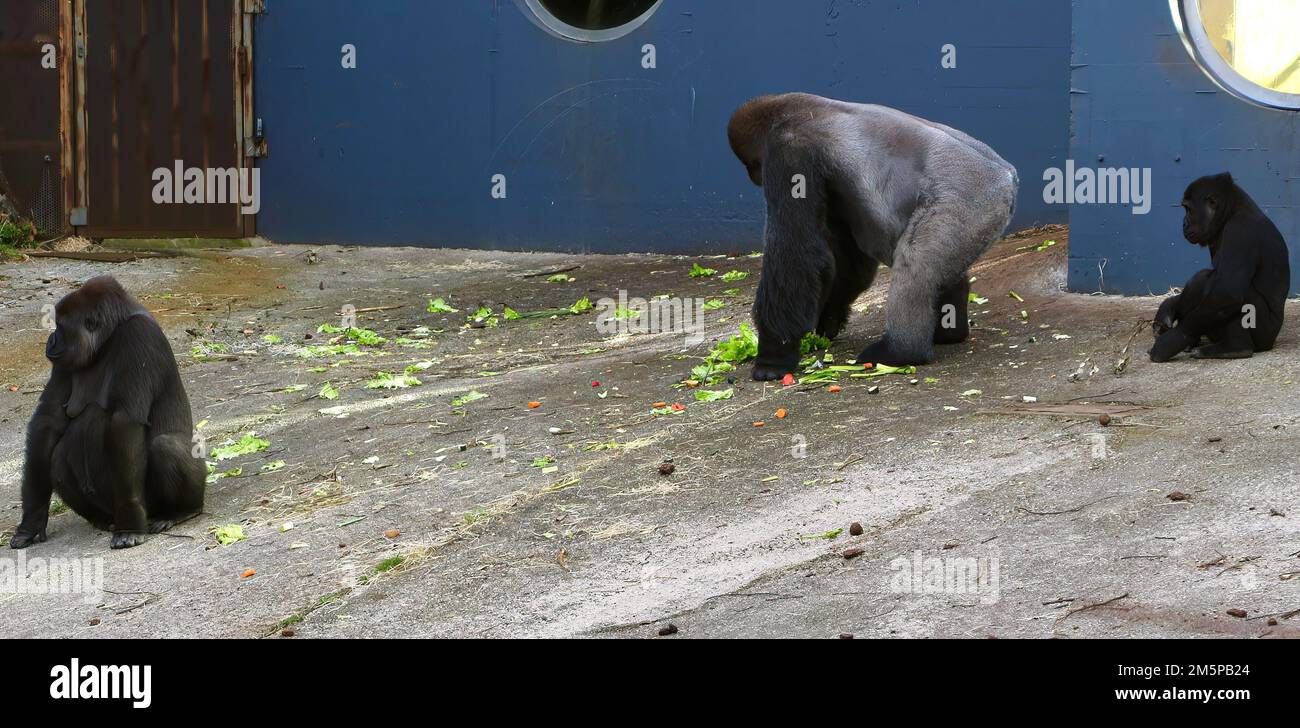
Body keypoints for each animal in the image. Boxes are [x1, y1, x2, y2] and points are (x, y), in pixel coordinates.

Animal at [11, 276, 205, 549]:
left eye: (60, 327)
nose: (50, 340)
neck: (108, 339)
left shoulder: (138, 335)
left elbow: (125, 422)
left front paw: (130, 524)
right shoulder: (66, 360)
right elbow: (48, 421)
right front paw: (32, 519)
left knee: (166, 446)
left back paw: (180, 511)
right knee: (57, 458)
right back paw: (103, 520)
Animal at [727, 92, 1019, 380]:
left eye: (752, 163)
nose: (752, 175)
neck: (786, 108)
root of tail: (1007, 175)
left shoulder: (788, 152)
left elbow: (797, 257)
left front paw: (773, 357)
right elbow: (846, 261)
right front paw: (827, 320)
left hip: (970, 199)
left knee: (916, 266)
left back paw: (901, 351)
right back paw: (950, 324)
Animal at [1151, 173, 1289, 362]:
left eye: (1188, 210)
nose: (1184, 223)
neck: (1232, 210)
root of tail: (1273, 340)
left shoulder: (1240, 231)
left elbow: (1227, 291)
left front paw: (1172, 340)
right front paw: (1168, 307)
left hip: (1264, 334)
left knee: (1214, 285)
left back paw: (1236, 347)